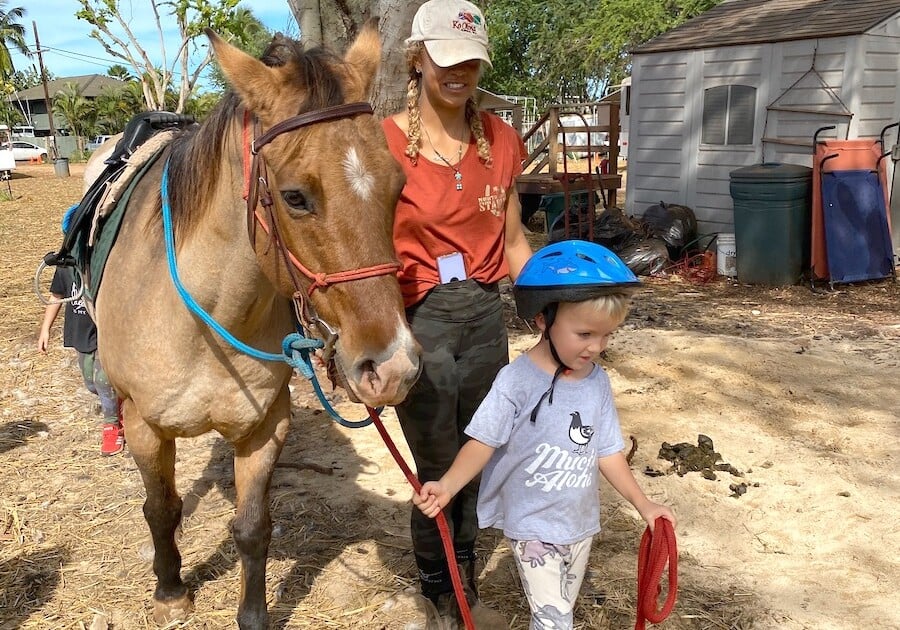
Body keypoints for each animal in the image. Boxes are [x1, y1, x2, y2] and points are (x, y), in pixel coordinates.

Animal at [88, 24, 420, 628]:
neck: (204, 322)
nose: (394, 368)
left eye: (397, 187)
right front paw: (170, 589)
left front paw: (254, 614)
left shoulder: (265, 428)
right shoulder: (147, 427)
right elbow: (161, 507)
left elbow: (252, 530)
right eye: (295, 196)